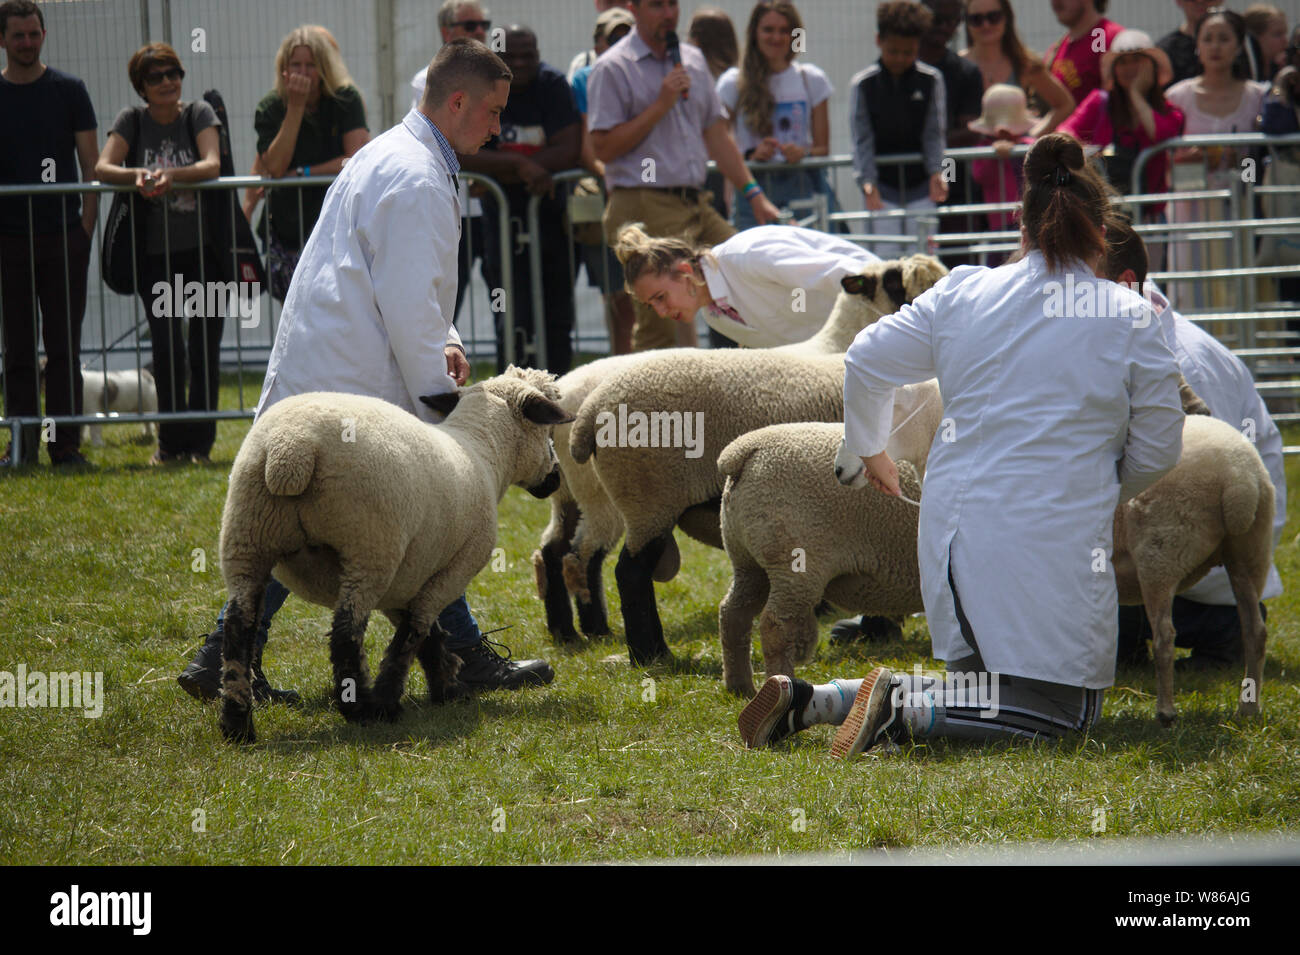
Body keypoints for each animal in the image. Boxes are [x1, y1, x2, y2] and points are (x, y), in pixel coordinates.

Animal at [215, 366, 572, 743]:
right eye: (547, 431)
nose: (555, 478)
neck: (483, 452)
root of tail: (291, 447)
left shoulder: (407, 577)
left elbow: (427, 634)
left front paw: (446, 686)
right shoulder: (453, 570)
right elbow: (413, 633)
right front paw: (391, 700)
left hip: (247, 537)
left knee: (239, 626)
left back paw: (237, 722)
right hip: (370, 548)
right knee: (346, 632)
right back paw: (359, 708)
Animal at [531, 254, 949, 645]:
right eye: (898, 284)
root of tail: (587, 409)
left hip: (577, 492)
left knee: (556, 550)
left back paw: (570, 632)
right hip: (641, 494)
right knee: (617, 566)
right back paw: (643, 648)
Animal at [718, 421, 928, 696]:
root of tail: (744, 450)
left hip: (747, 561)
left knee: (733, 614)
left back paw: (740, 687)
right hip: (794, 564)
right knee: (775, 626)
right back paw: (782, 684)